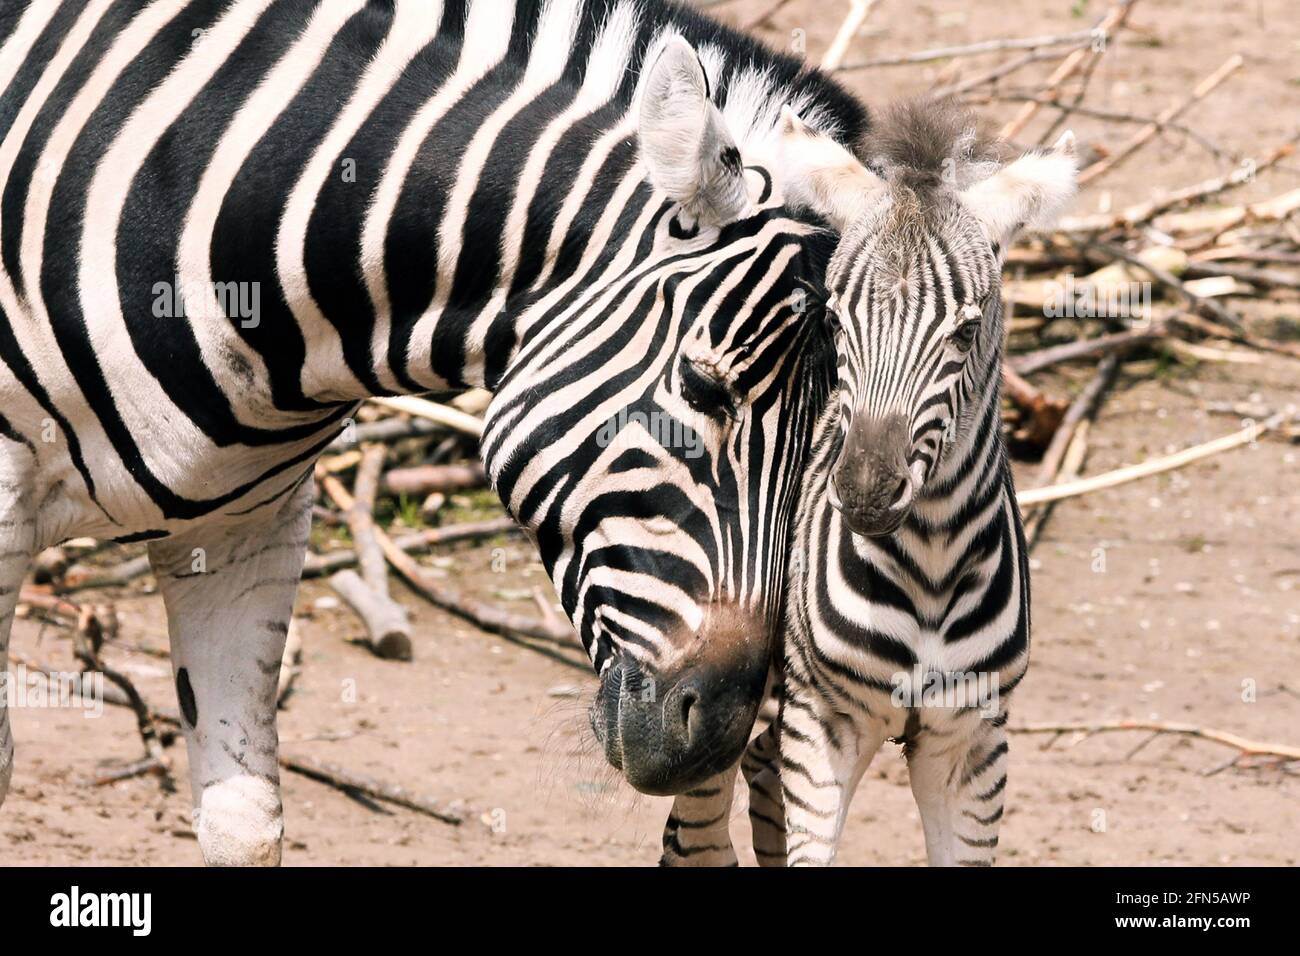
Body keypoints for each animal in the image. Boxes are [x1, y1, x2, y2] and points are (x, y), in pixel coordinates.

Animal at [661, 101, 1078, 866]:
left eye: (966, 332)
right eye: (833, 319)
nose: (864, 493)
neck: (934, 565)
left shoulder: (972, 742)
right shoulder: (823, 726)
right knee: (698, 822)